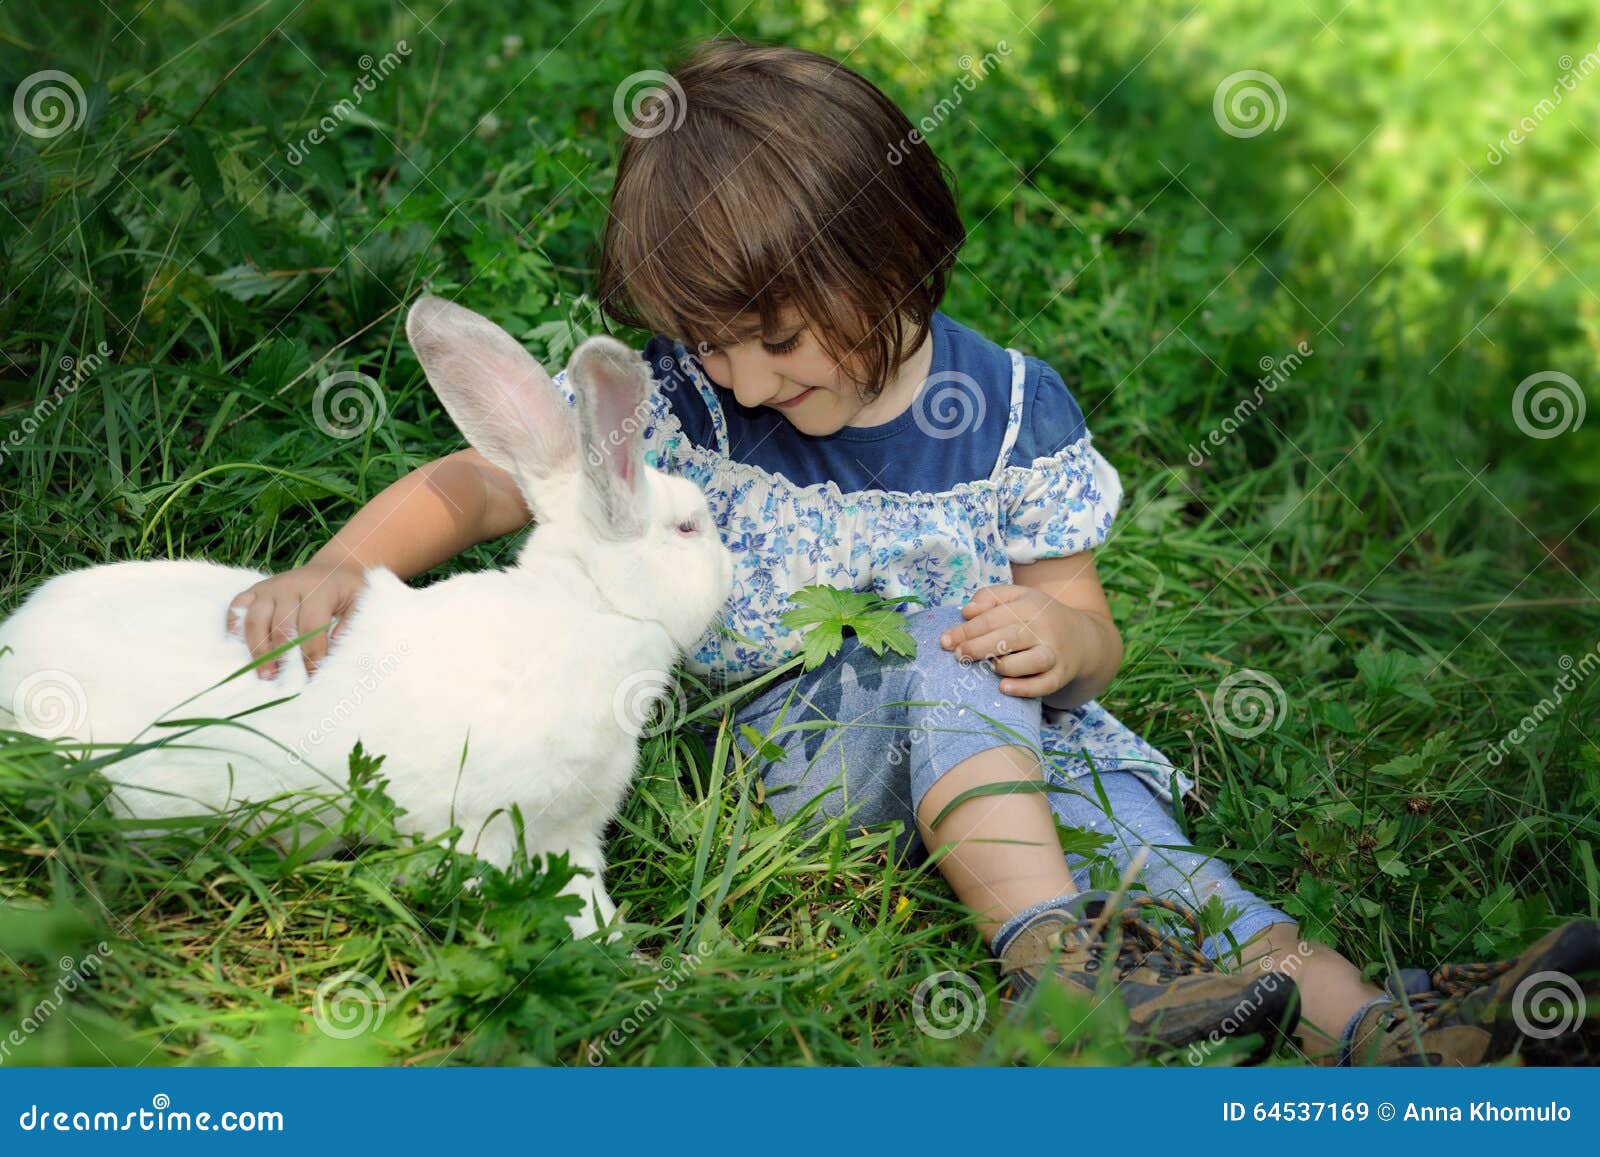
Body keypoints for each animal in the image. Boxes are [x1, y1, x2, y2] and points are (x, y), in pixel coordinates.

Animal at [0, 295, 734, 939]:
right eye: (688, 528)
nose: (730, 565)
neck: (590, 606)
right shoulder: (488, 826)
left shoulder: (571, 834)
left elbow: (584, 896)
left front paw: (616, 946)